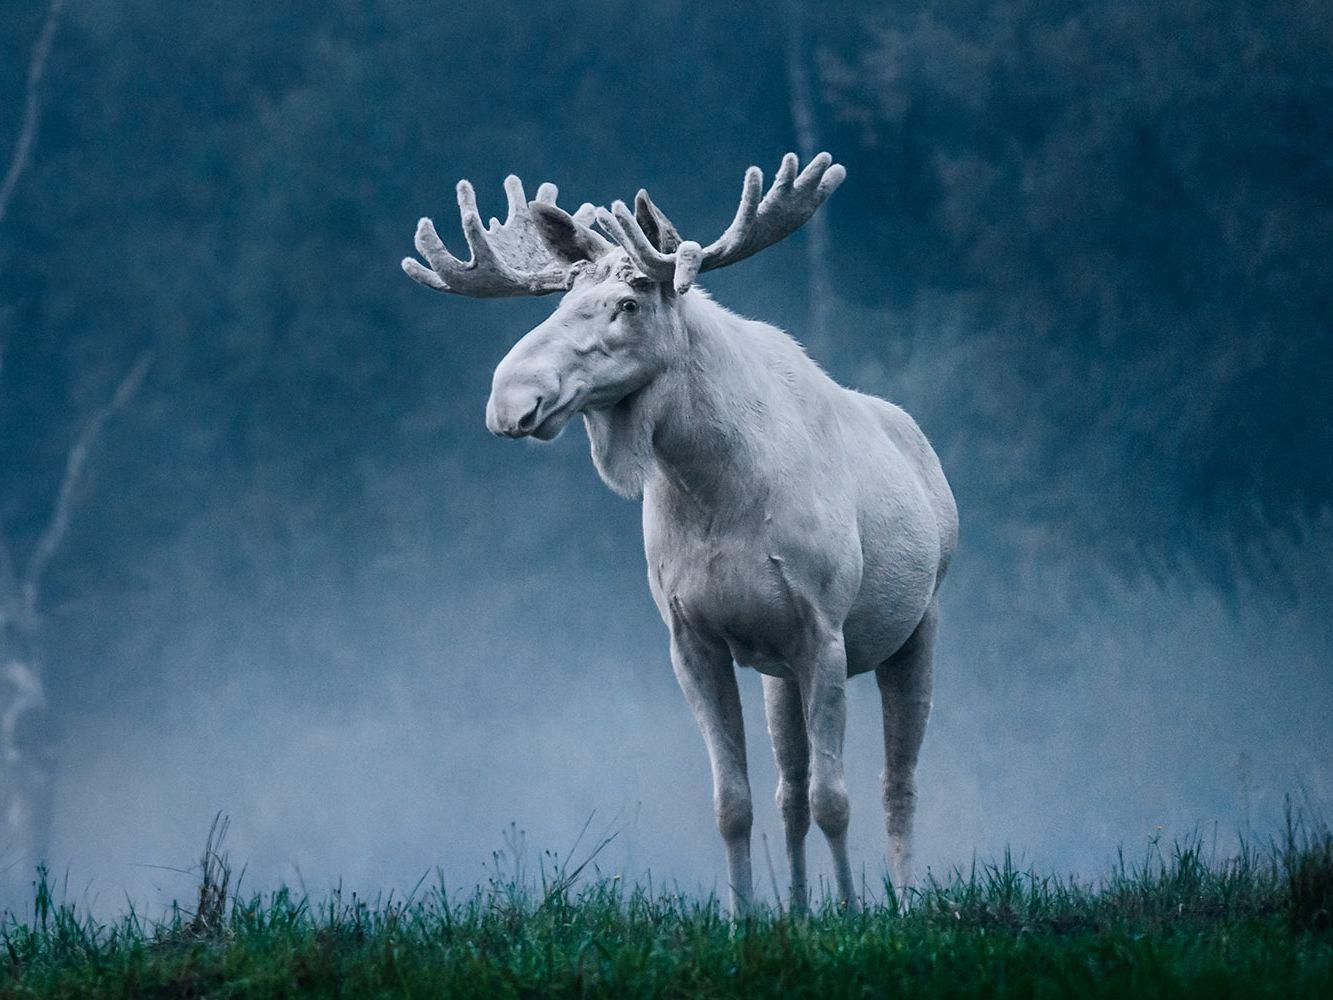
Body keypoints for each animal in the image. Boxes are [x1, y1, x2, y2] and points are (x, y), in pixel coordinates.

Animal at [402, 152, 957, 912]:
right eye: (558, 303)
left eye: (629, 304)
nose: (509, 401)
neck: (710, 485)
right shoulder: (693, 639)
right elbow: (734, 803)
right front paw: (748, 917)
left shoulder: (823, 630)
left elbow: (835, 798)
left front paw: (851, 913)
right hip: (778, 674)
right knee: (788, 791)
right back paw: (801, 910)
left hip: (917, 627)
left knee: (895, 784)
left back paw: (903, 901)